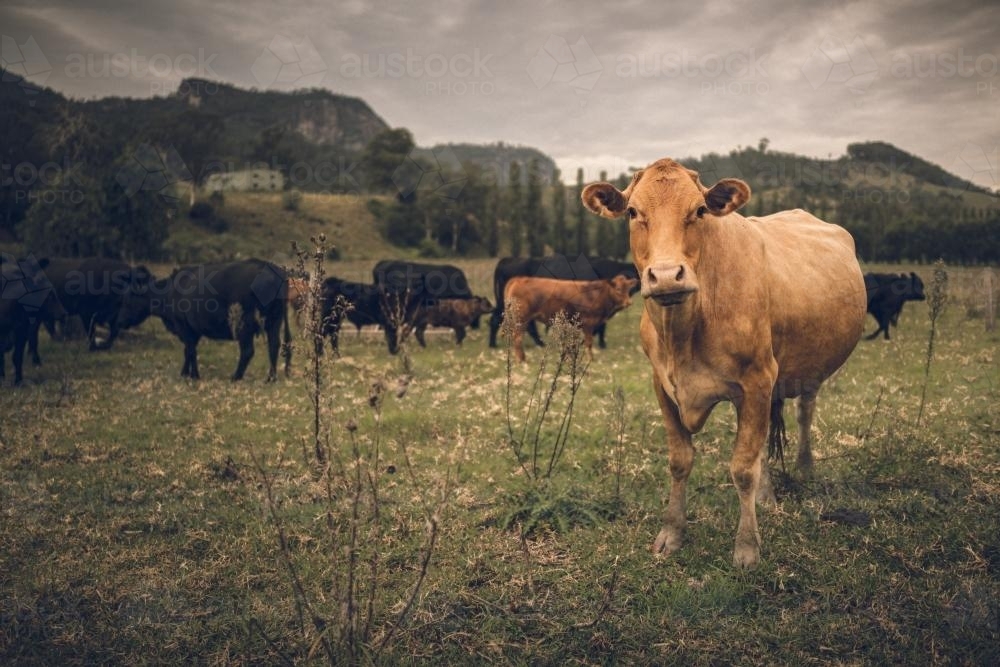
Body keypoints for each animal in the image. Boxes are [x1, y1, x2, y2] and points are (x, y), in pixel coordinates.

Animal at [120, 258, 291, 381]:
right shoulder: (193, 330)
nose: (120, 321)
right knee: (274, 345)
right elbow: (188, 351)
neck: (169, 292)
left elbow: (190, 350)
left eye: (128, 300)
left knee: (248, 350)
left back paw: (236, 376)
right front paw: (186, 373)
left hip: (243, 323)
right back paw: (271, 377)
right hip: (274, 320)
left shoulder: (184, 327)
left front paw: (193, 375)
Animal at [503, 275, 637, 362]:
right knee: (518, 338)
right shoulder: (588, 323)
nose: (629, 302)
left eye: (629, 289)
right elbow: (588, 343)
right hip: (521, 319)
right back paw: (521, 360)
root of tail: (519, 279)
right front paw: (591, 359)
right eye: (618, 289)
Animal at [582, 159, 866, 567]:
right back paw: (767, 495)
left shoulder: (757, 379)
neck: (683, 335)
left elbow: (742, 468)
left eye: (699, 210)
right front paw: (672, 532)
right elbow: (681, 460)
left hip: (805, 371)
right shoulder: (663, 385)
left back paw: (805, 467)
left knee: (804, 413)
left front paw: (747, 547)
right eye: (633, 212)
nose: (666, 276)